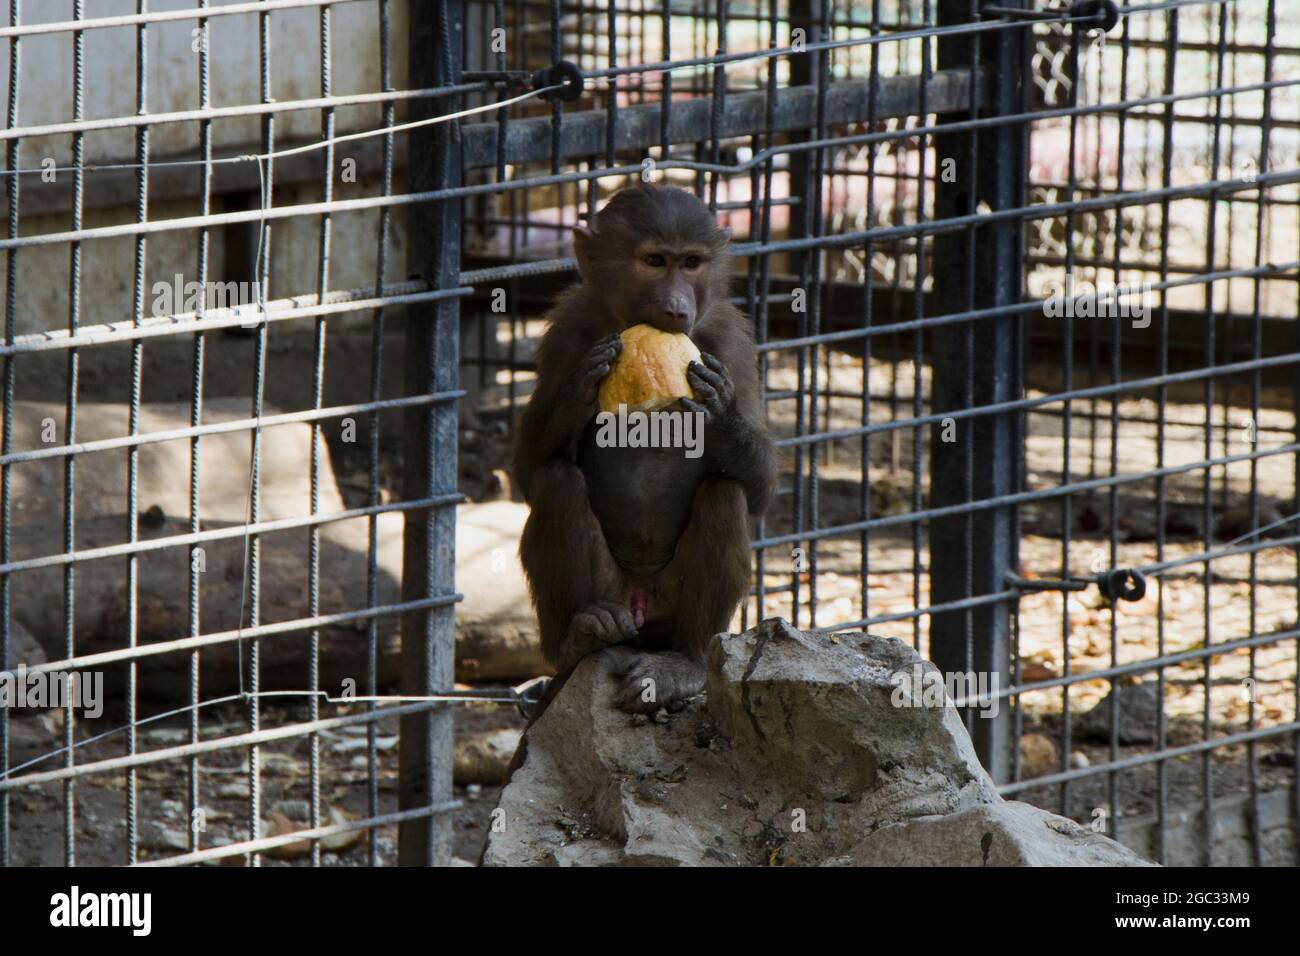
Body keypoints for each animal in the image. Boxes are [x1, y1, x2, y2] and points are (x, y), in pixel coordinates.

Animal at [513, 183, 777, 716]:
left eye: (691, 262)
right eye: (655, 260)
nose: (676, 309)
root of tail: (639, 603)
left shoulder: (730, 341)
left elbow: (758, 490)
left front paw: (719, 415)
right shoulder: (567, 330)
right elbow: (530, 470)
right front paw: (579, 390)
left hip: (669, 610)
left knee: (725, 496)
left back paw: (686, 664)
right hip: (612, 593)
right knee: (556, 485)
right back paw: (581, 637)